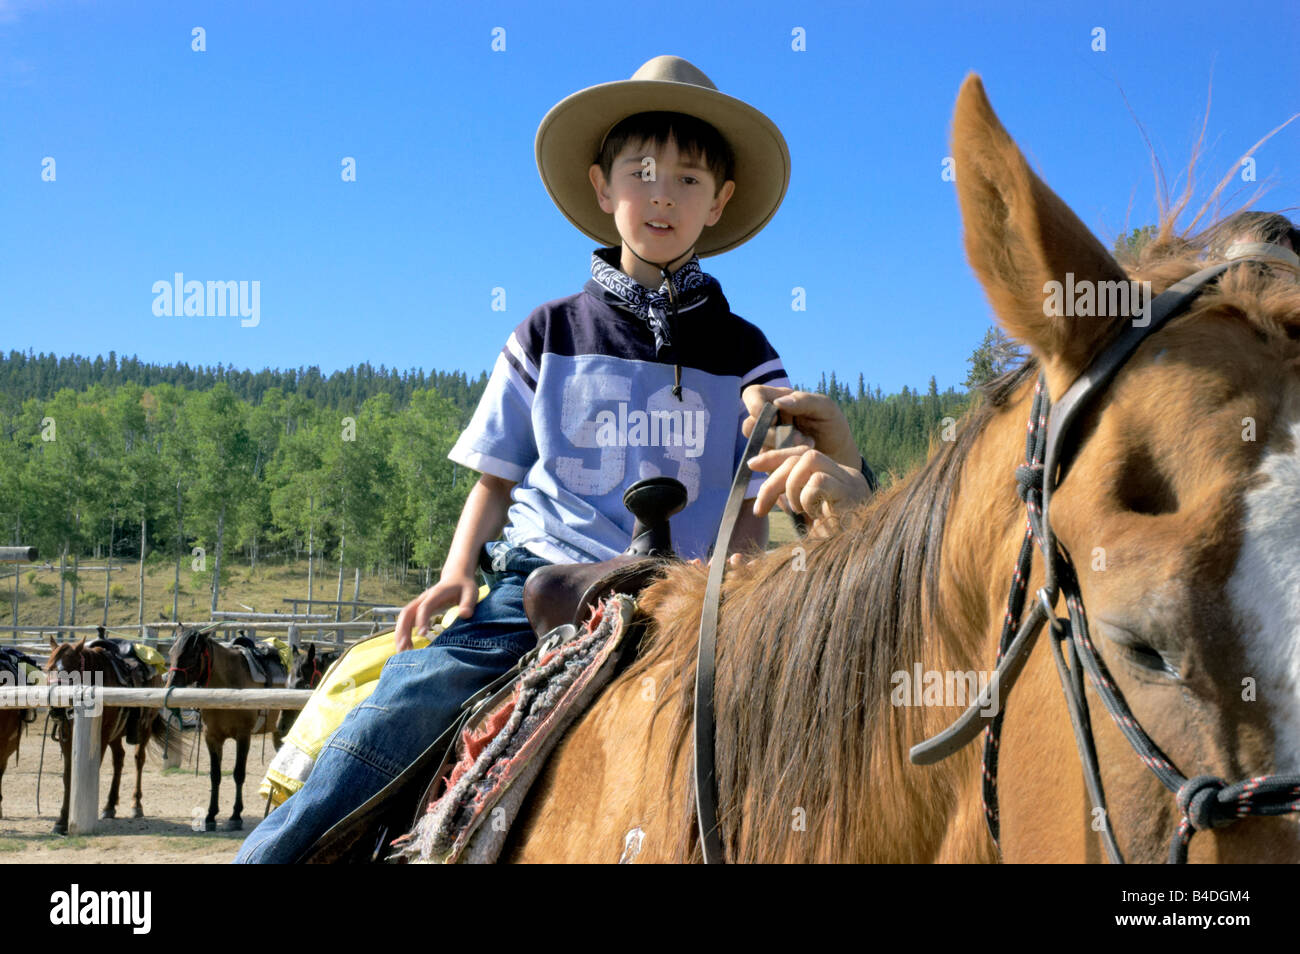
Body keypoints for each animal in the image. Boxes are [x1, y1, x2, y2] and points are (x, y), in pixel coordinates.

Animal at [43, 635, 179, 835]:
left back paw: (136, 805)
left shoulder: (101, 737)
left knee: (138, 759)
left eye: (70, 670)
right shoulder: (66, 738)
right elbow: (68, 777)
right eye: (48, 669)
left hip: (143, 727)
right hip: (115, 734)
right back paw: (110, 806)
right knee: (119, 759)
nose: (55, 708)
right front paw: (61, 821)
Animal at [165, 627, 286, 831]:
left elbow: (238, 774)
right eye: (171, 652)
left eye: (191, 654)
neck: (227, 687)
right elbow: (215, 775)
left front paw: (236, 816)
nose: (171, 684)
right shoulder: (212, 737)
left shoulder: (243, 736)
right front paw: (211, 816)